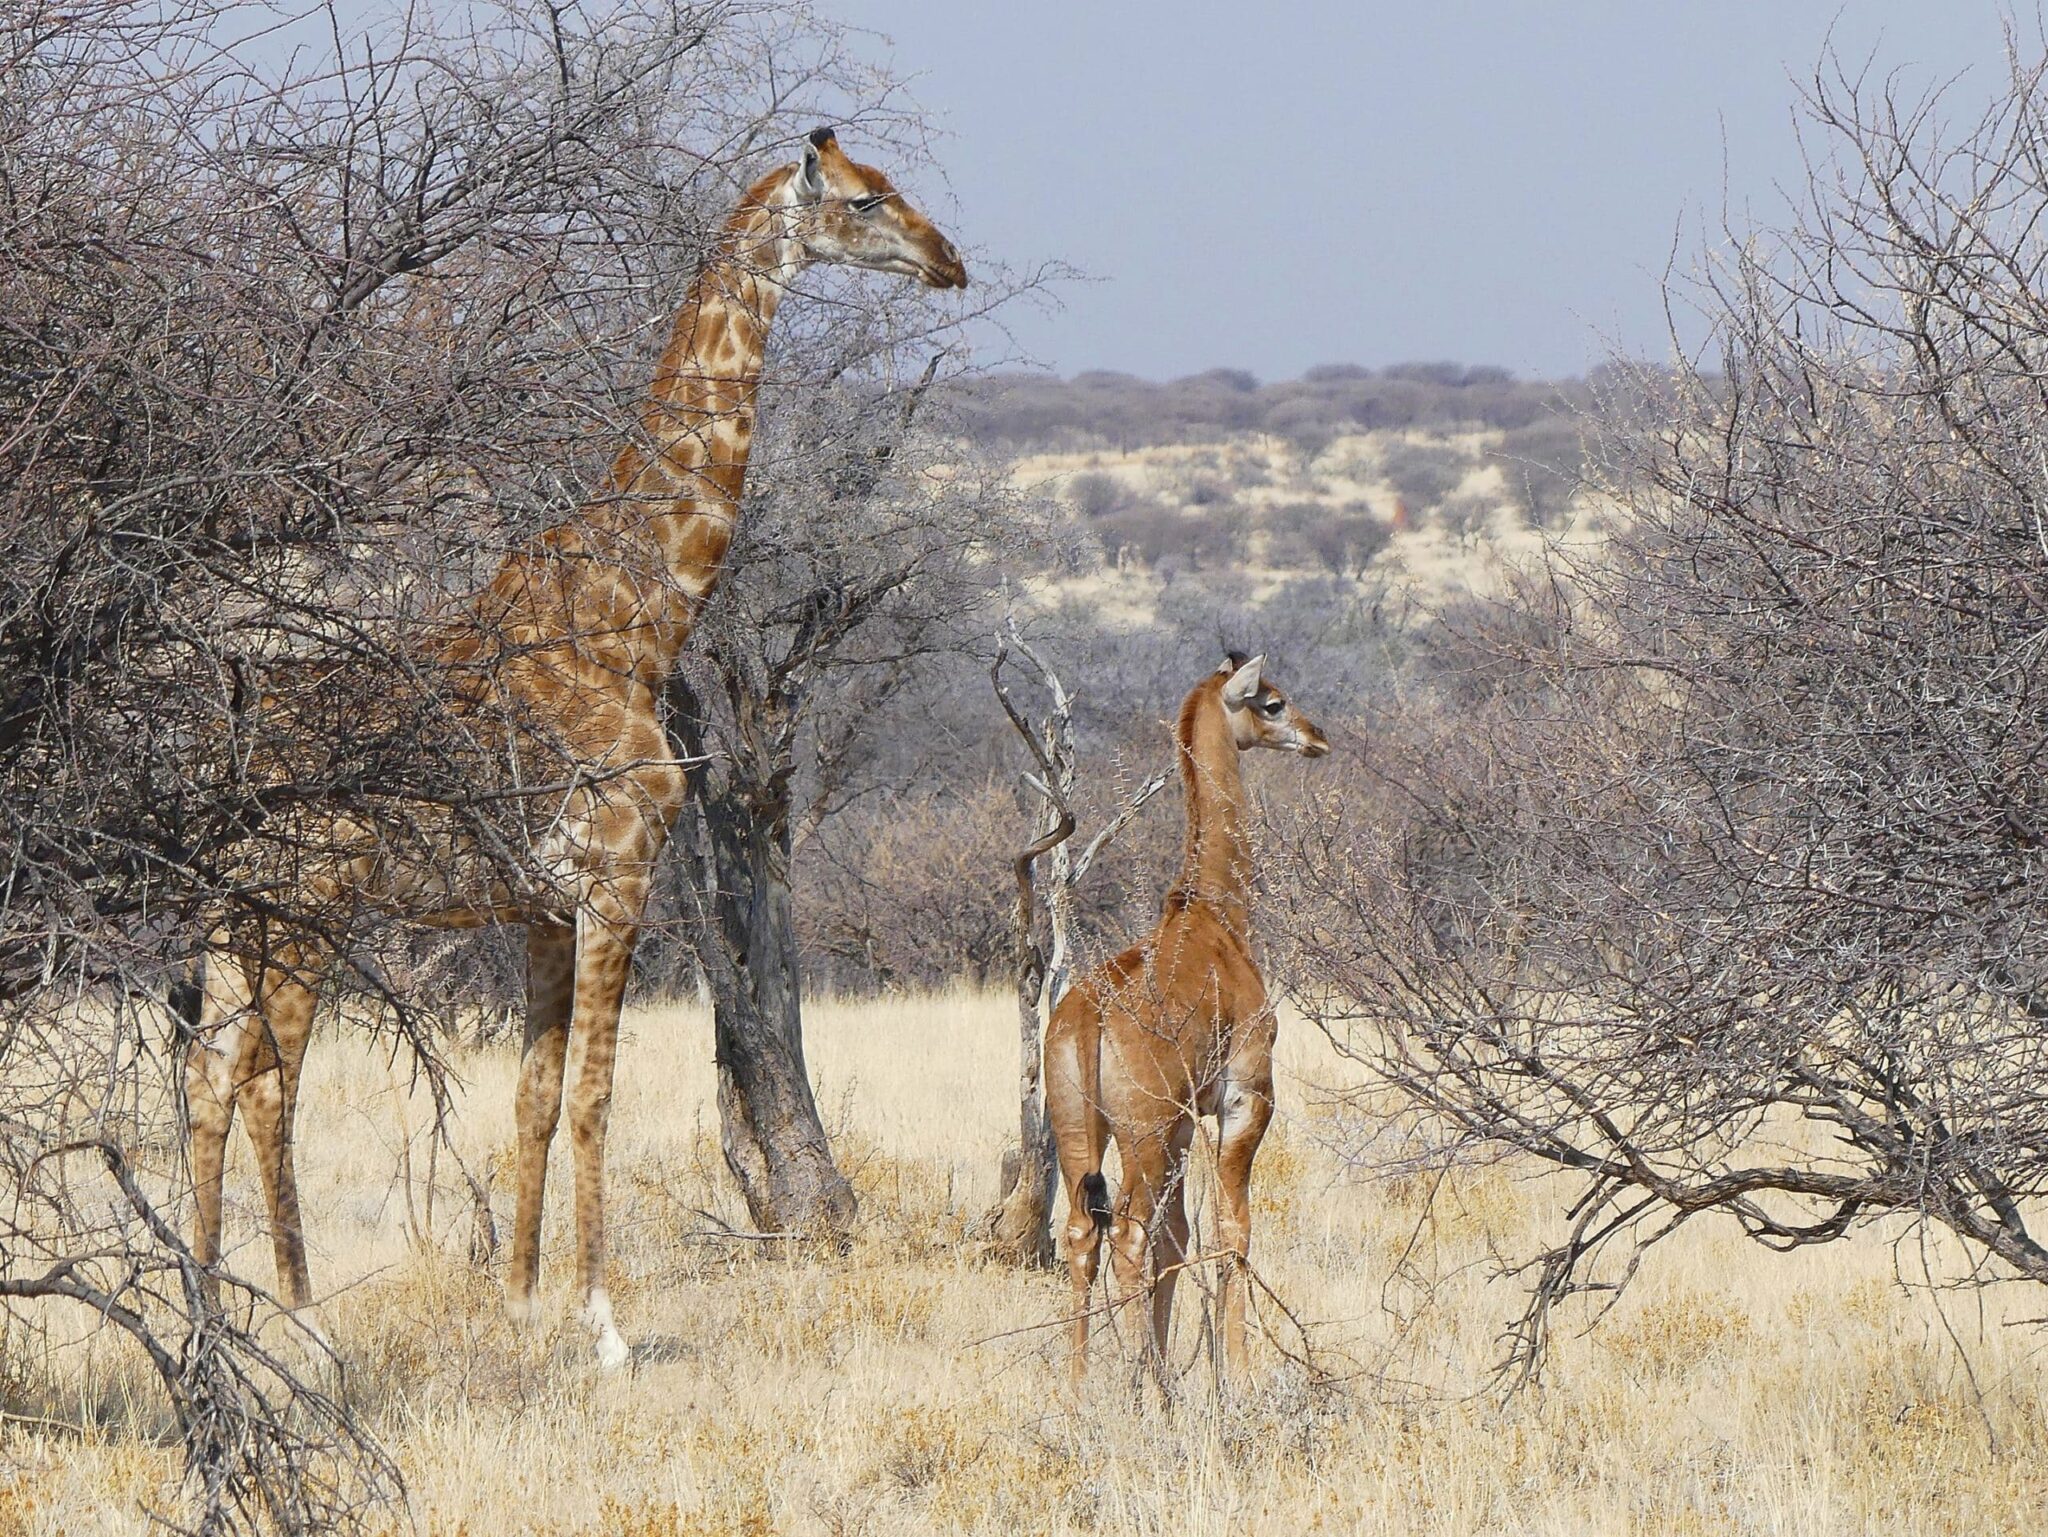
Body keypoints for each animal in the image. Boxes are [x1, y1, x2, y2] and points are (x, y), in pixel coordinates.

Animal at [185, 129, 965, 1368]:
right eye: (861, 200)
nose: (949, 262)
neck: (633, 618)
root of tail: (230, 744)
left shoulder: (544, 907)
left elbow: (535, 1096)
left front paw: (519, 1304)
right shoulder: (616, 877)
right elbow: (598, 1093)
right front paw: (603, 1326)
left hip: (236, 914)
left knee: (209, 1074)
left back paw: (211, 1321)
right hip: (303, 906)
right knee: (264, 1083)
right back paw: (303, 1329)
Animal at [1045, 654, 1328, 1390]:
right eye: (1272, 702)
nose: (1317, 736)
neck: (1215, 914)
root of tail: (1089, 1019)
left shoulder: (1180, 1123)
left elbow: (1179, 1239)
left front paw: (1173, 1365)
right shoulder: (1243, 1097)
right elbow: (1232, 1229)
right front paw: (1237, 1374)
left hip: (1082, 1127)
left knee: (1082, 1233)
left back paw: (1082, 1388)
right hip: (1140, 1133)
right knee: (1128, 1233)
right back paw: (1136, 1382)